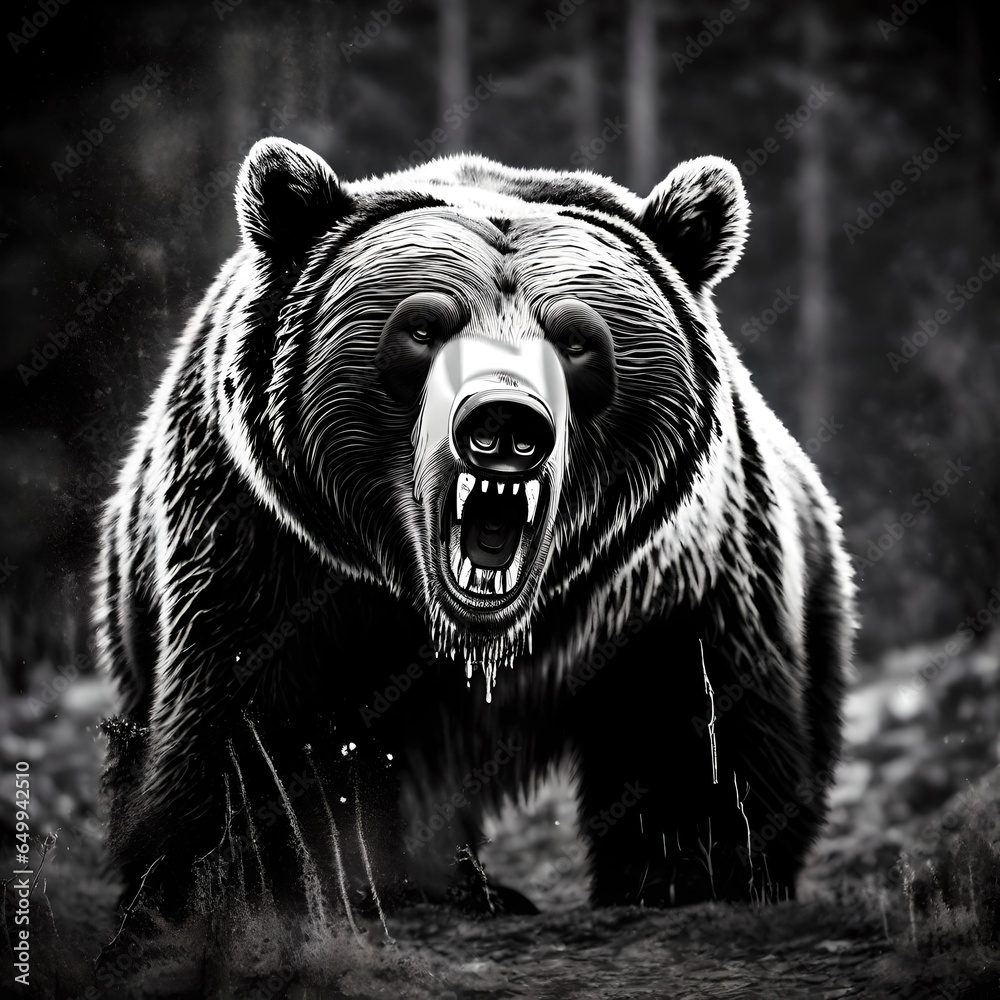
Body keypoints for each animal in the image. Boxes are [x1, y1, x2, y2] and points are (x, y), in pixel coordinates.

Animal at [95, 137, 855, 922]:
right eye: (423, 327)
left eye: (576, 338)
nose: (505, 421)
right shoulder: (264, 552)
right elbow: (248, 734)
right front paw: (224, 886)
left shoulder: (672, 581)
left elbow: (697, 733)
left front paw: (692, 876)